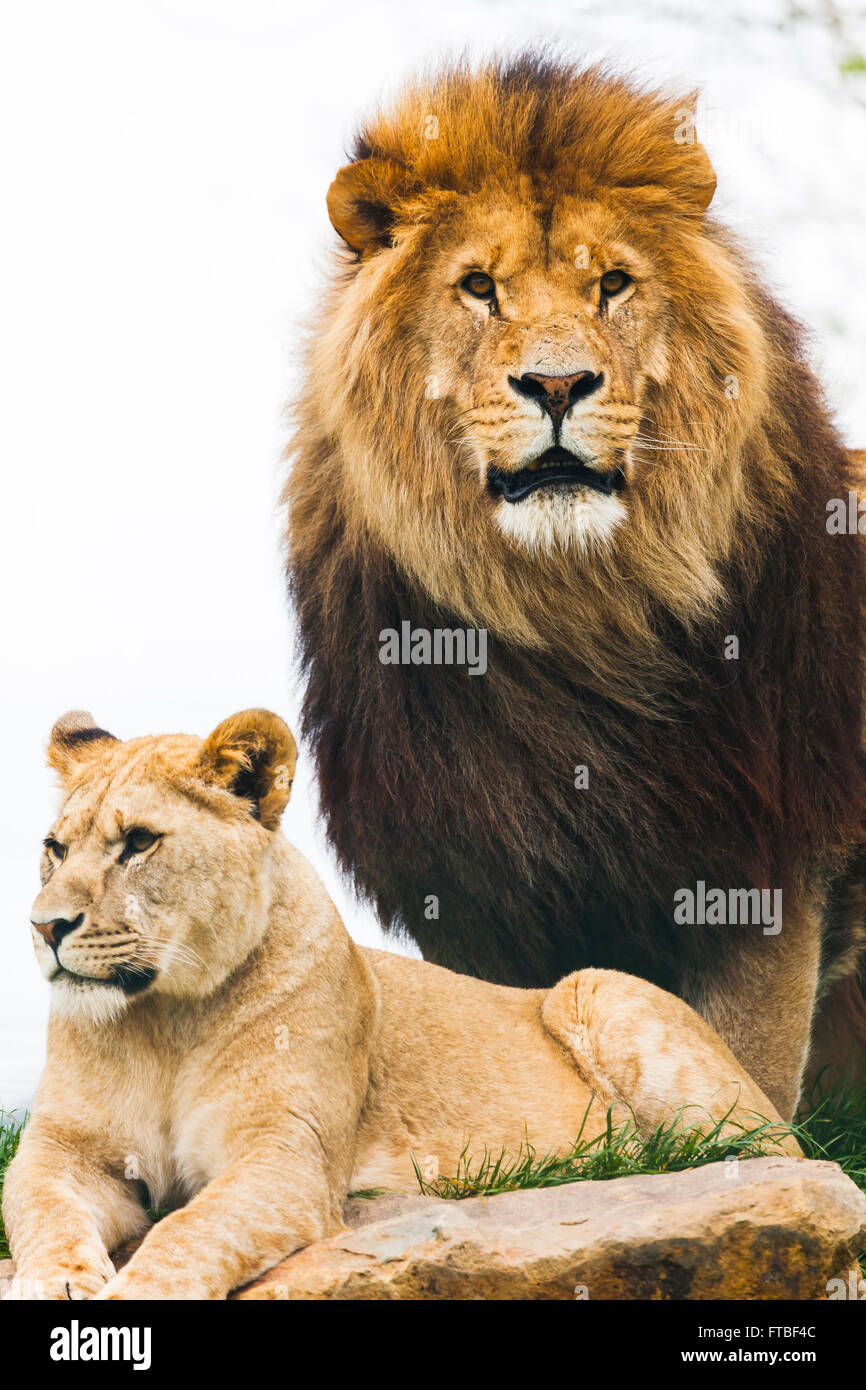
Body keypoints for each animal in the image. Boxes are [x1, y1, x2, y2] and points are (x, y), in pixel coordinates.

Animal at [3, 709, 795, 1301]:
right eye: (54, 848)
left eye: (139, 842)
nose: (44, 927)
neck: (164, 1018)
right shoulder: (62, 1149)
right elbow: (40, 1211)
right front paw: (57, 1285)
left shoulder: (286, 1157)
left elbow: (185, 1231)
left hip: (601, 989)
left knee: (768, 1156)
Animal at [284, 54, 866, 1122]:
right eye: (479, 287)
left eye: (613, 284)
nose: (558, 386)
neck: (572, 614)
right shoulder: (468, 884)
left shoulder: (764, 867)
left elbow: (746, 1071)